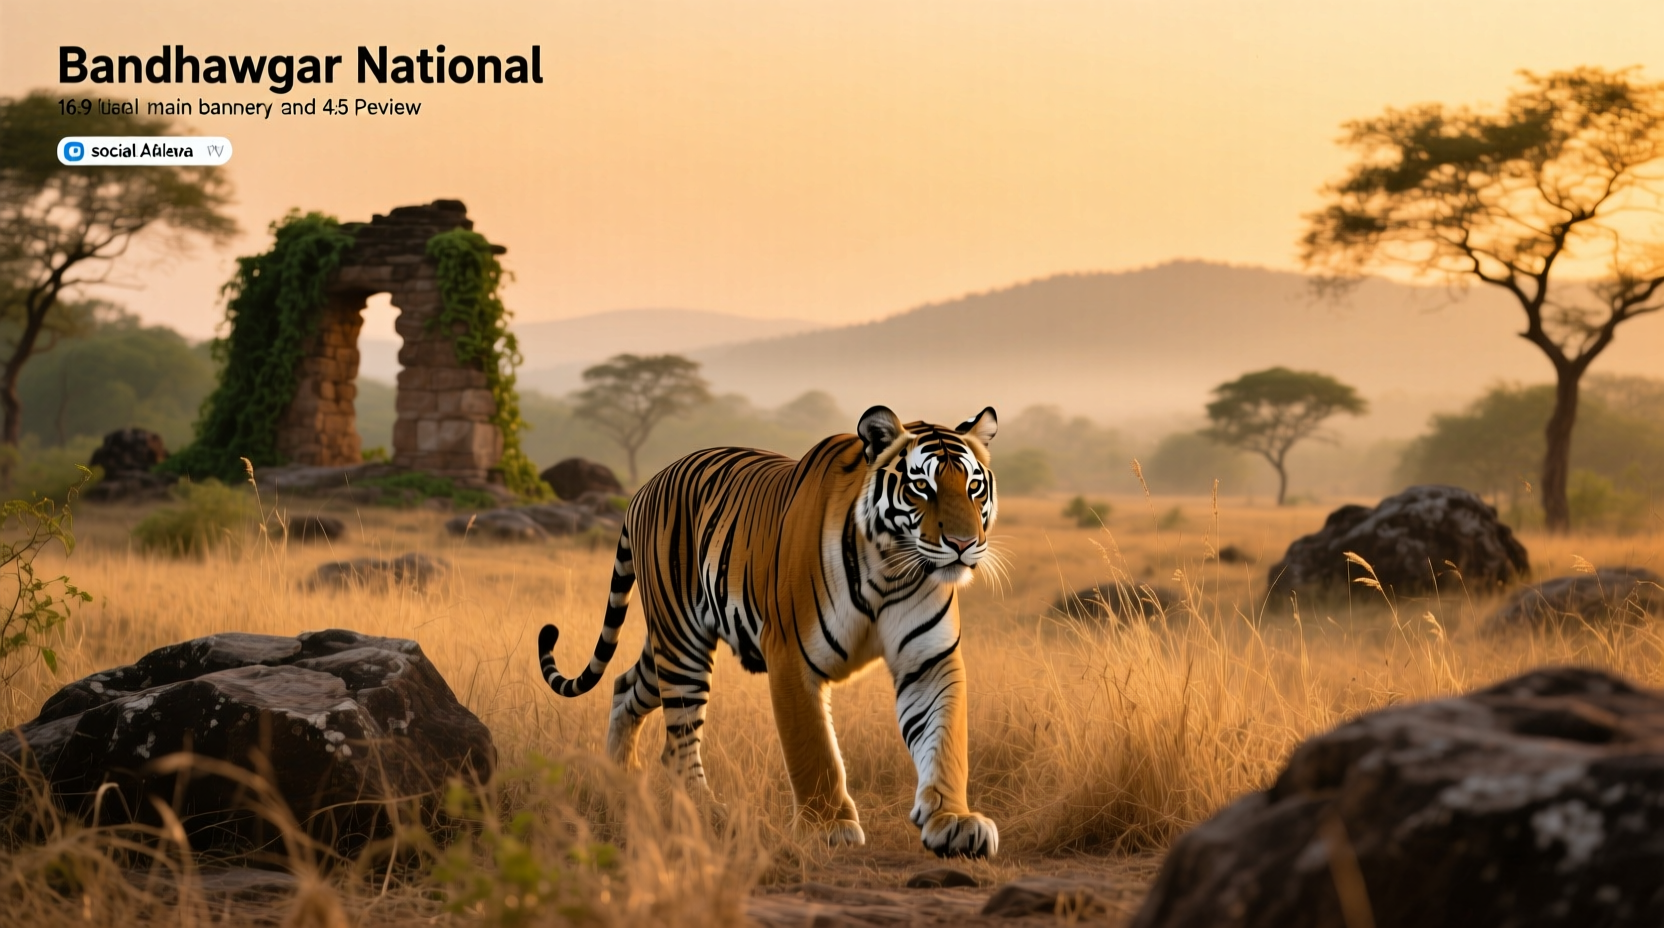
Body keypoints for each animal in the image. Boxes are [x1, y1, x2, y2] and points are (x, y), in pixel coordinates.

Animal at [535, 405, 1001, 858]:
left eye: (974, 487)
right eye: (921, 487)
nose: (963, 544)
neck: (890, 569)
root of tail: (644, 488)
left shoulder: (929, 660)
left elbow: (944, 740)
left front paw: (953, 822)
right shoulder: (792, 657)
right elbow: (814, 750)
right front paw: (827, 828)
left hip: (665, 648)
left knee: (624, 688)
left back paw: (620, 781)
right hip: (682, 643)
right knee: (680, 740)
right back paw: (706, 811)